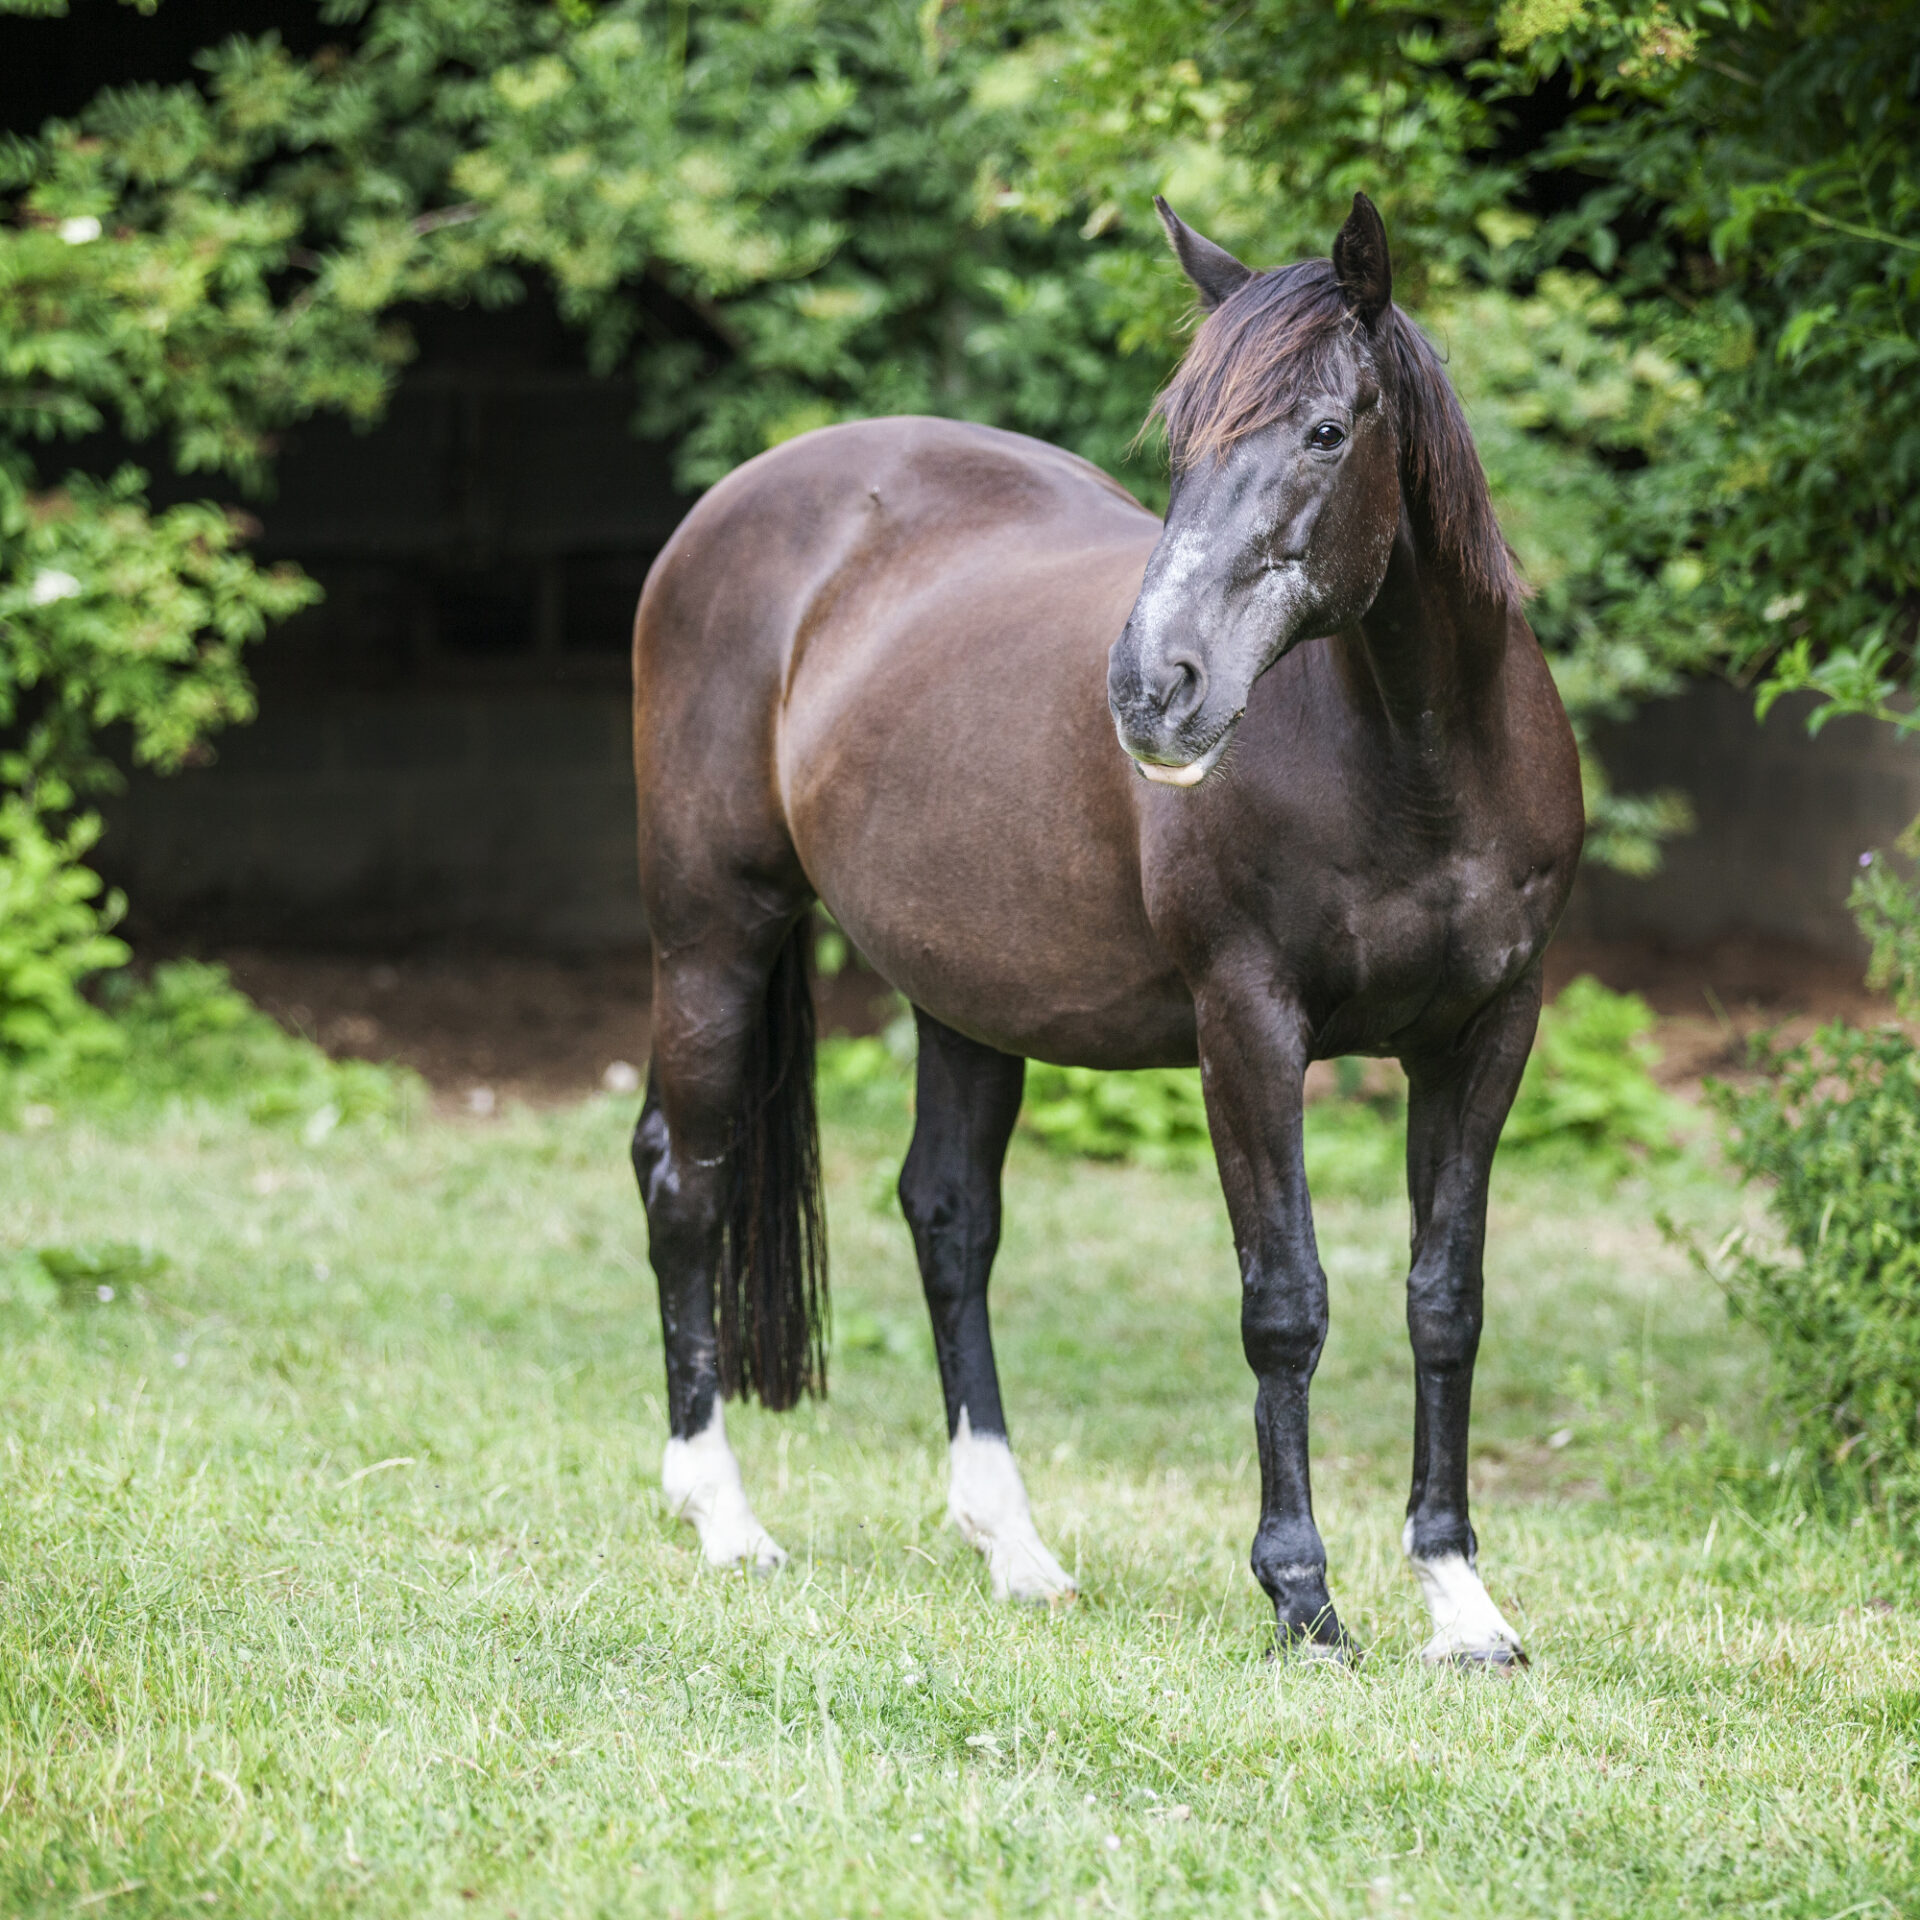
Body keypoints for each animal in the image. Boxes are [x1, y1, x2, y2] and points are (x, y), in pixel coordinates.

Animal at [629, 192, 1583, 1663]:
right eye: (1182, 438)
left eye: (1326, 431)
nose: (1150, 687)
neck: (1420, 762)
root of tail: (742, 500)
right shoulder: (1246, 1026)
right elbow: (1284, 1303)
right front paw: (1303, 1597)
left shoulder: (1488, 1033)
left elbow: (1445, 1301)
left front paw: (1459, 1596)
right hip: (711, 936)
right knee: (688, 1179)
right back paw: (726, 1519)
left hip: (962, 992)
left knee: (948, 1218)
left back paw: (1013, 1546)